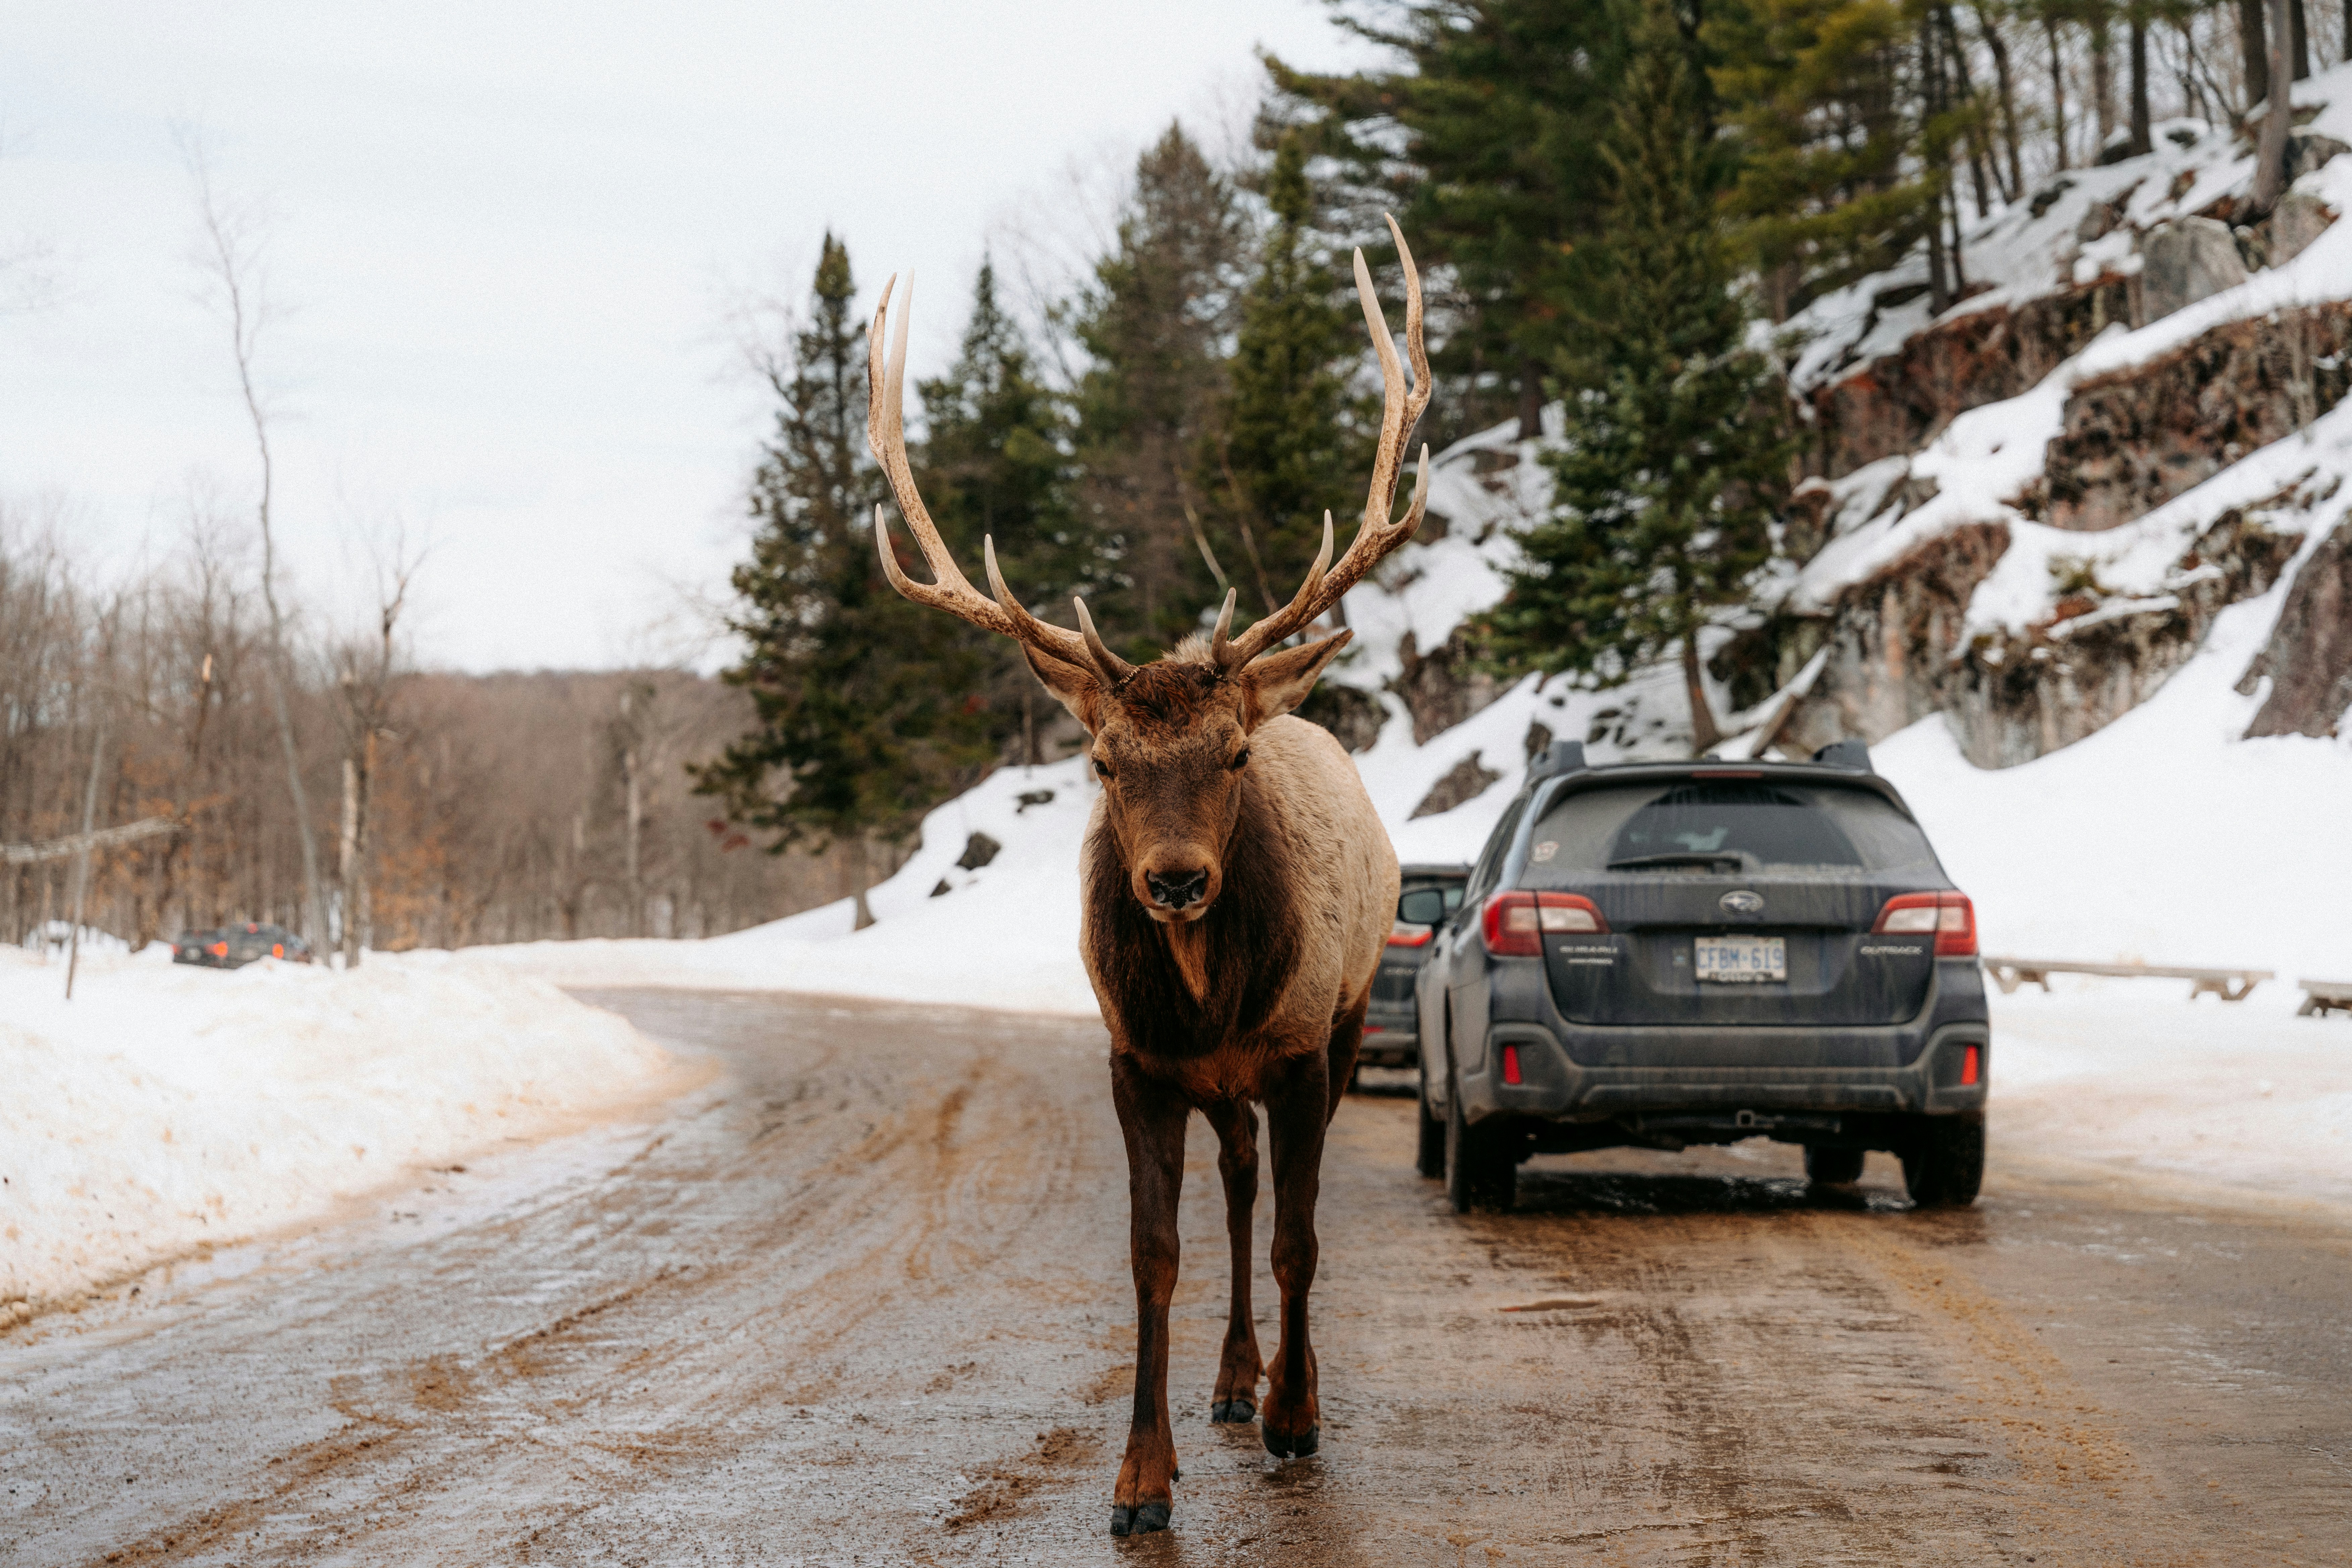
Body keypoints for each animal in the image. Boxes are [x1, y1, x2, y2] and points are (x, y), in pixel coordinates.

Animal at [867, 216, 1431, 1538]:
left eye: (1230, 754)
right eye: (1103, 761)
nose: (1174, 882)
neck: (1206, 997)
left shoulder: (1298, 1047)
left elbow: (1300, 1240)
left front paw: (1296, 1414)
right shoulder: (1135, 1063)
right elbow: (1152, 1256)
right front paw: (1137, 1482)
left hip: (1342, 1019)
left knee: (1273, 1204)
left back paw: (1265, 1388)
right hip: (1216, 1088)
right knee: (1234, 1184)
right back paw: (1229, 1380)